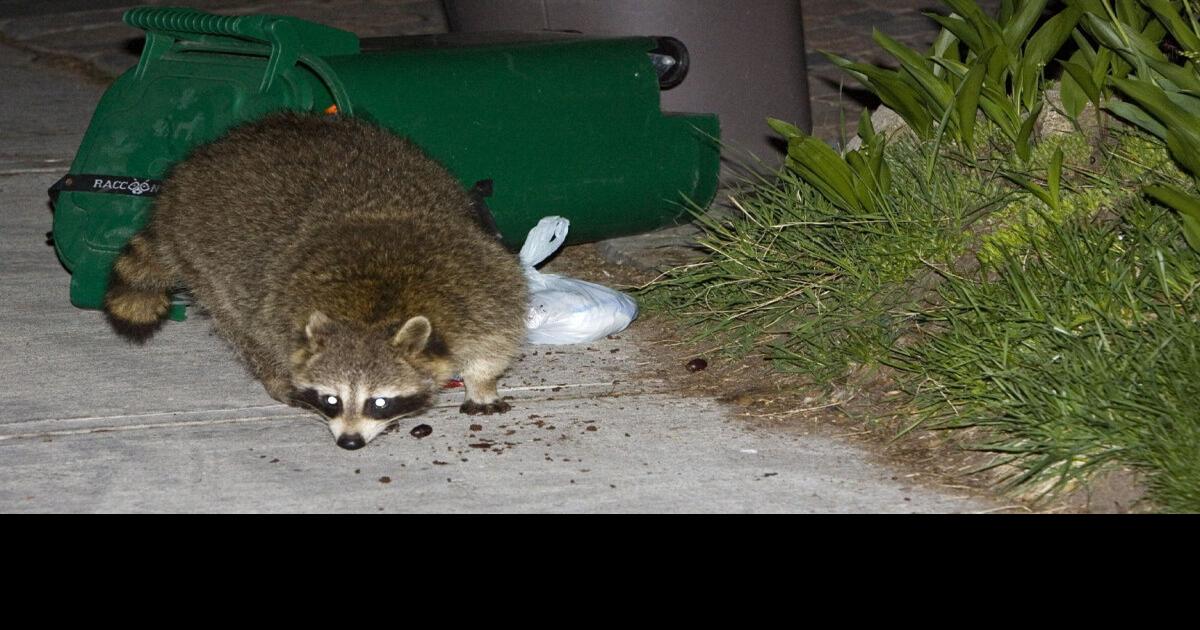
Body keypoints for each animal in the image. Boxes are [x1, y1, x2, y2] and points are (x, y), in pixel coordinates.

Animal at [104, 112, 528, 449]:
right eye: (331, 400)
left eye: (379, 402)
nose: (349, 442)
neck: (374, 310)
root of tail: (181, 181)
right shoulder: (280, 309)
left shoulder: (478, 285)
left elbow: (498, 335)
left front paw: (482, 382)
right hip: (198, 255)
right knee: (237, 323)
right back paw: (272, 375)